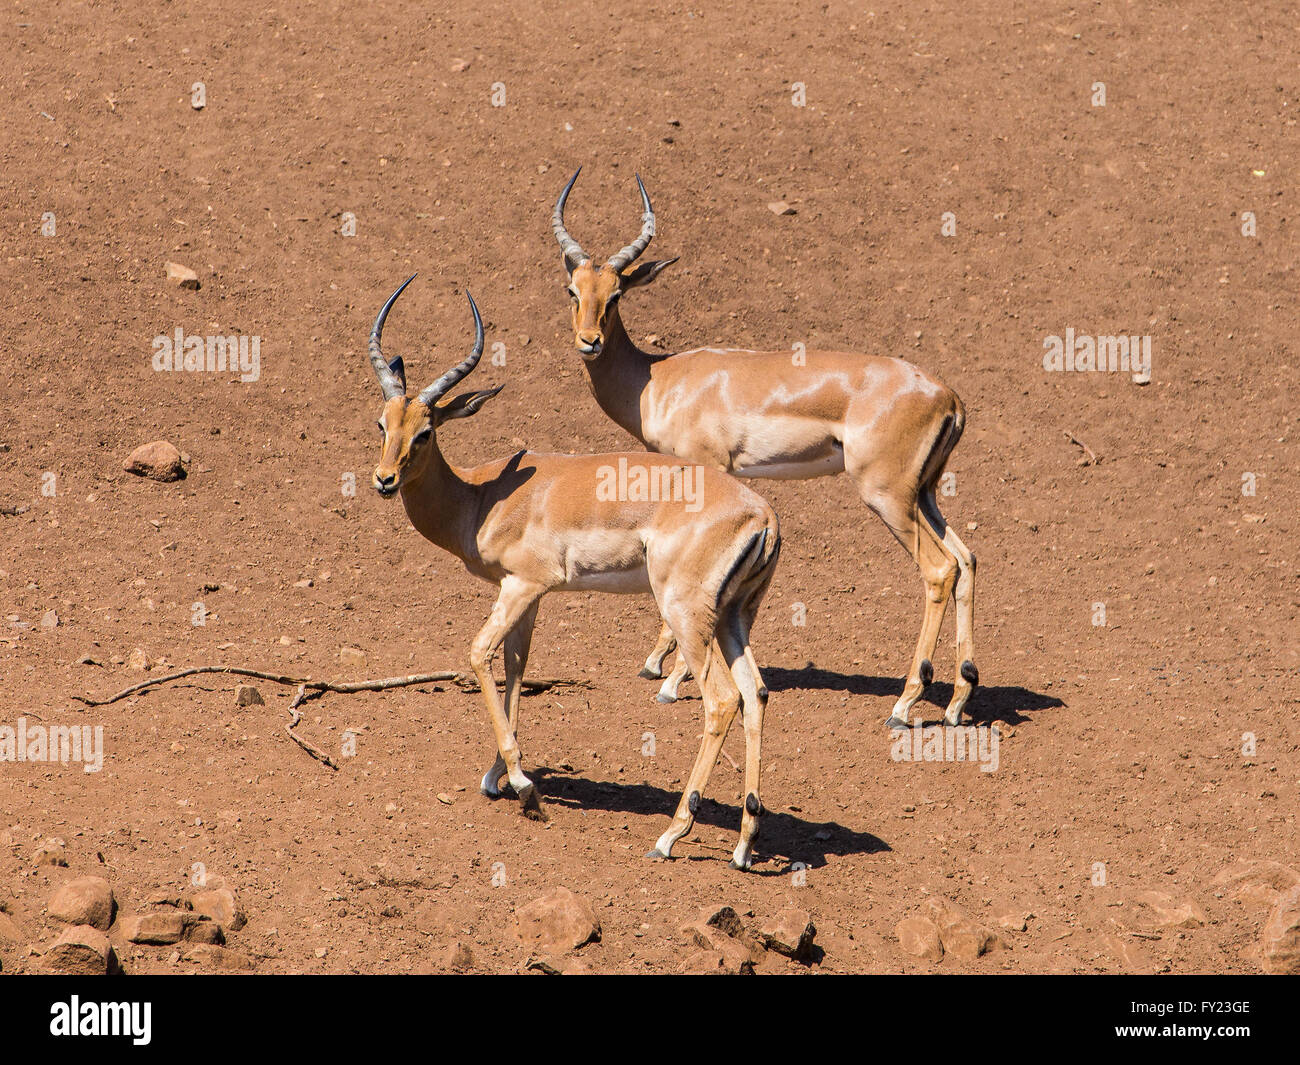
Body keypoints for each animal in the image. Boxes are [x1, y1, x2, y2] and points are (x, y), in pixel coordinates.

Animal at [366, 276, 781, 869]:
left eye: (426, 432)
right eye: (383, 423)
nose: (383, 479)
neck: (483, 497)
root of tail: (763, 515)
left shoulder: (521, 585)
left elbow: (479, 654)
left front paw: (525, 788)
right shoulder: (529, 595)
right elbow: (517, 666)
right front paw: (498, 774)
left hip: (686, 613)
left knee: (722, 699)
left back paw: (670, 836)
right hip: (733, 618)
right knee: (757, 693)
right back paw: (744, 844)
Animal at [552, 169, 978, 728]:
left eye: (617, 293)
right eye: (573, 289)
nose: (589, 341)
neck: (657, 378)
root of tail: (947, 396)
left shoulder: (704, 470)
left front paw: (665, 675)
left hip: (887, 497)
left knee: (939, 569)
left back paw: (905, 704)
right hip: (923, 495)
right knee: (967, 560)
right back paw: (956, 702)